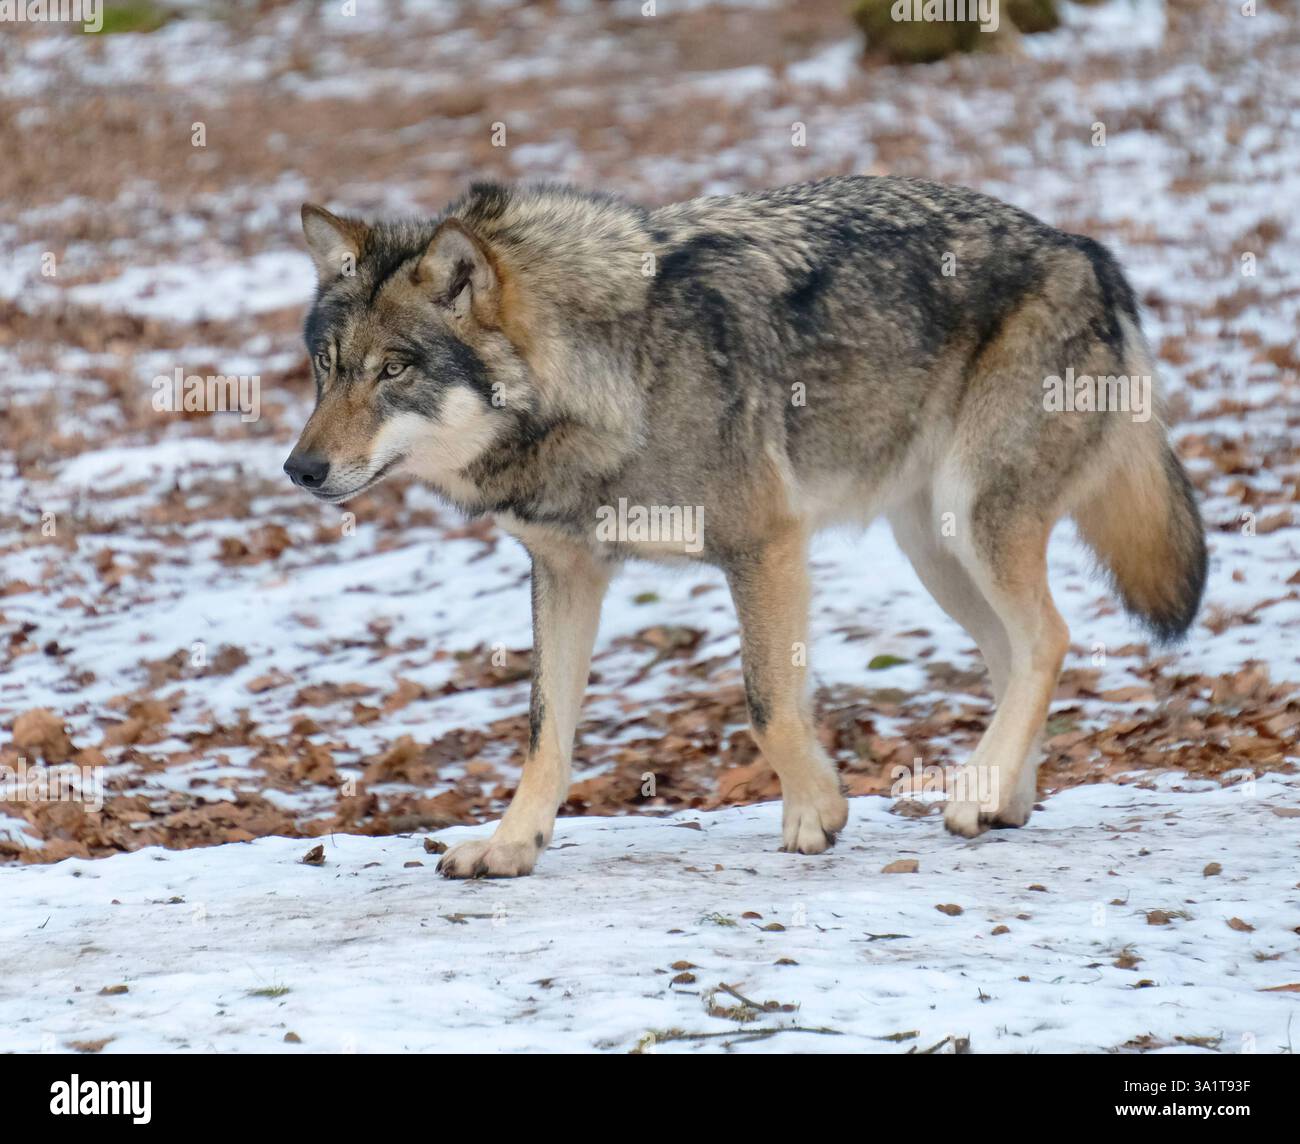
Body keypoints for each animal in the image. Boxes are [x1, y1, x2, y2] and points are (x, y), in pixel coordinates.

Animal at [284, 176, 1206, 877]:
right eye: (327, 368)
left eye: (394, 370)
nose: (300, 470)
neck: (614, 373)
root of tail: (1085, 249)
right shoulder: (567, 571)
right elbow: (547, 729)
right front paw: (512, 845)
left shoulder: (764, 545)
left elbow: (766, 701)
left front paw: (819, 810)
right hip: (935, 549)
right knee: (1014, 653)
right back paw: (1001, 797)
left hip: (970, 517)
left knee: (1049, 638)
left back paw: (978, 792)